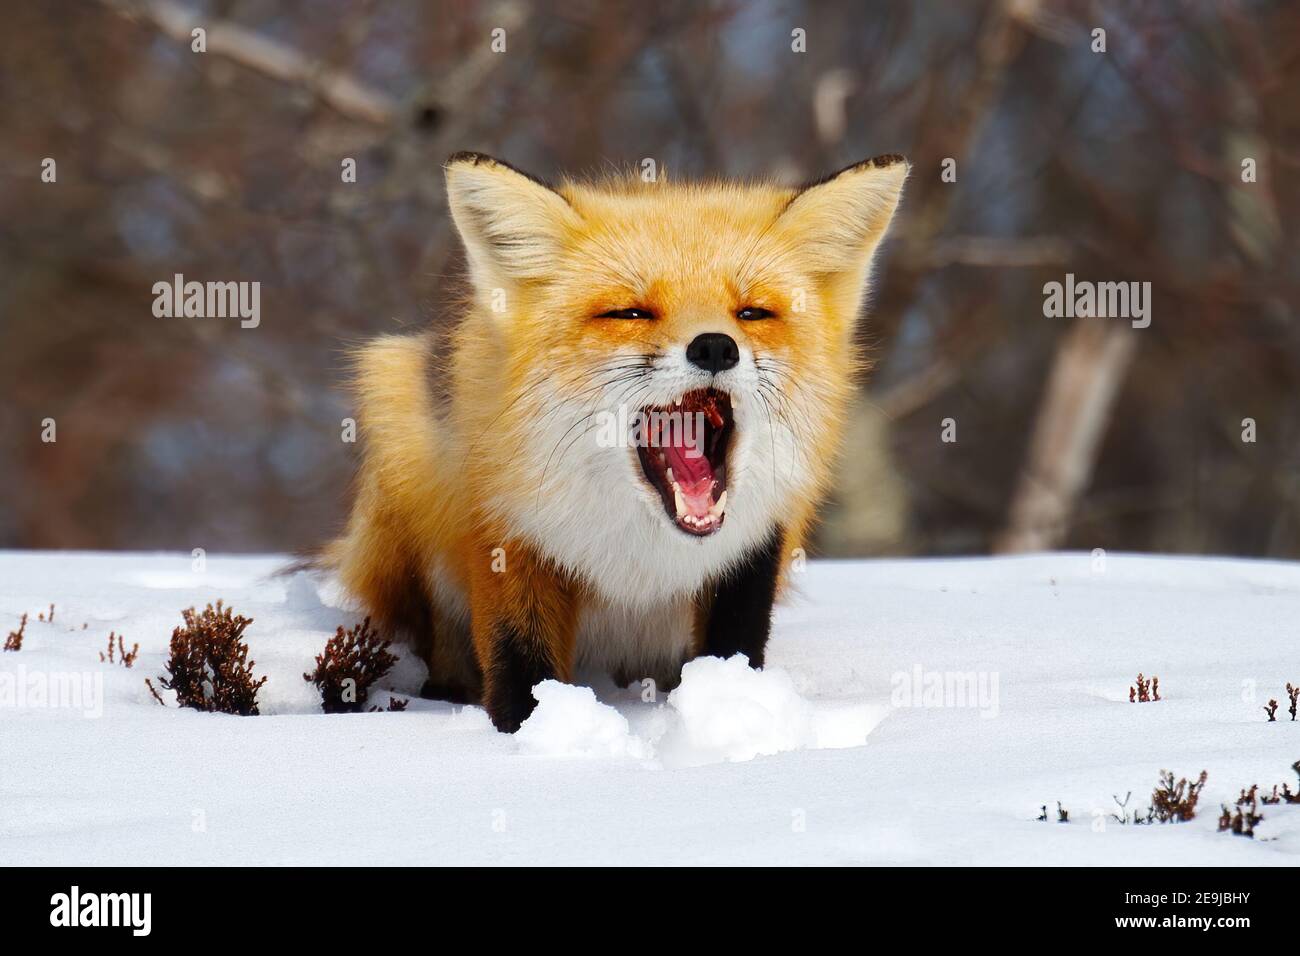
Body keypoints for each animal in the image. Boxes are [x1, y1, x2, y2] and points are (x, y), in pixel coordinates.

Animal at [322, 151, 908, 732]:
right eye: (630, 312)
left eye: (752, 312)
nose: (715, 347)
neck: (641, 552)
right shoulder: (507, 533)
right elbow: (521, 664)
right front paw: (541, 732)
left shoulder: (753, 546)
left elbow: (735, 647)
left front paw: (732, 707)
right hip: (394, 410)